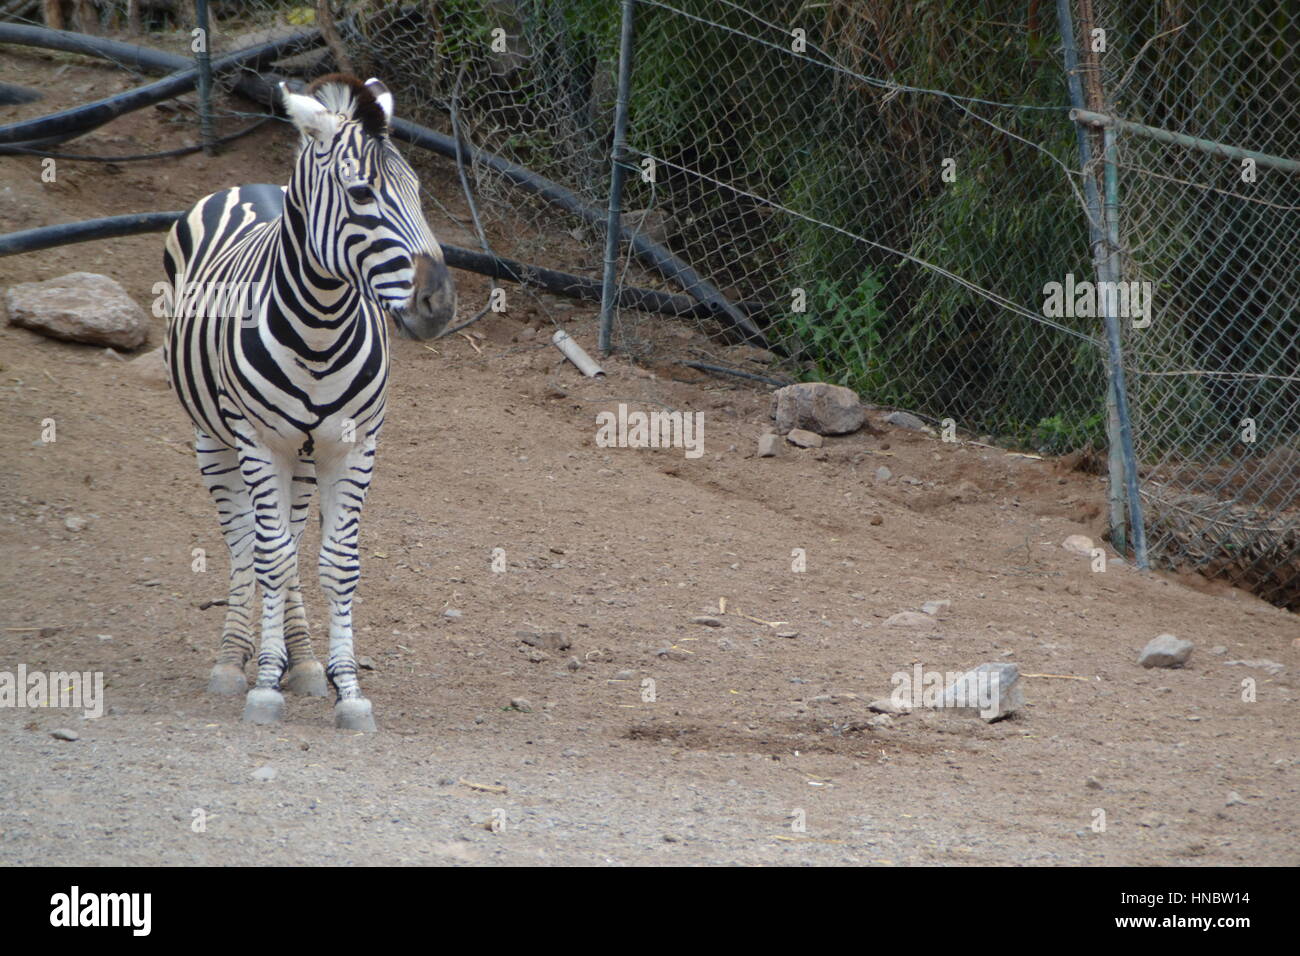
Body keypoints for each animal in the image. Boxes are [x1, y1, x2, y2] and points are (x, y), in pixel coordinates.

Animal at [162, 74, 456, 731]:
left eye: (418, 191)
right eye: (362, 193)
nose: (439, 305)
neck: (320, 330)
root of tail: (247, 186)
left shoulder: (354, 445)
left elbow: (335, 563)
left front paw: (346, 688)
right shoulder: (256, 441)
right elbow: (267, 556)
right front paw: (263, 686)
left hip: (302, 455)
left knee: (290, 545)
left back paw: (301, 662)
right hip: (213, 439)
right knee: (245, 542)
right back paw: (235, 660)